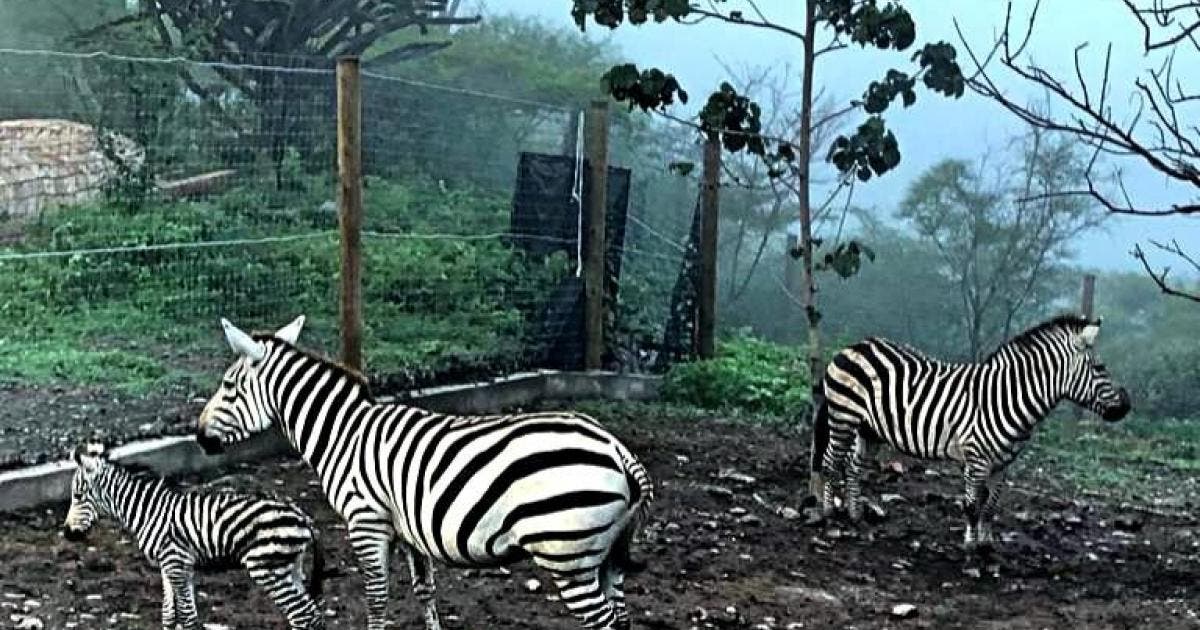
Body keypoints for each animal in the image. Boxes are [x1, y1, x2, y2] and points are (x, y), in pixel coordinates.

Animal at [62, 442, 329, 629]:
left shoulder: (175, 563)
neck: (149, 511)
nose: (66, 533)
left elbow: (187, 617)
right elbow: (169, 615)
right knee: (312, 615)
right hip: (290, 567)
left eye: (78, 496)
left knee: (302, 615)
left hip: (267, 567)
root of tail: (301, 515)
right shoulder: (171, 566)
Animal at [194, 316, 654, 630]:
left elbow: (376, 597)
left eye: (229, 387)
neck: (343, 433)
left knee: (603, 621)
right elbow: (424, 591)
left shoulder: (366, 521)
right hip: (607, 556)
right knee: (621, 618)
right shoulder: (409, 530)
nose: (199, 437)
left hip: (567, 554)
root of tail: (617, 449)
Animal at [808, 314, 1131, 548]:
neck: (1007, 397)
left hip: (869, 430)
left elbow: (991, 506)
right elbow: (972, 506)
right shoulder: (976, 460)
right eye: (1100, 368)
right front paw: (970, 548)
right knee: (830, 462)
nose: (1126, 407)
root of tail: (855, 345)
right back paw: (827, 515)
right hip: (843, 417)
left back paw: (855, 516)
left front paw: (987, 546)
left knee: (854, 467)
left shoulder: (1004, 464)